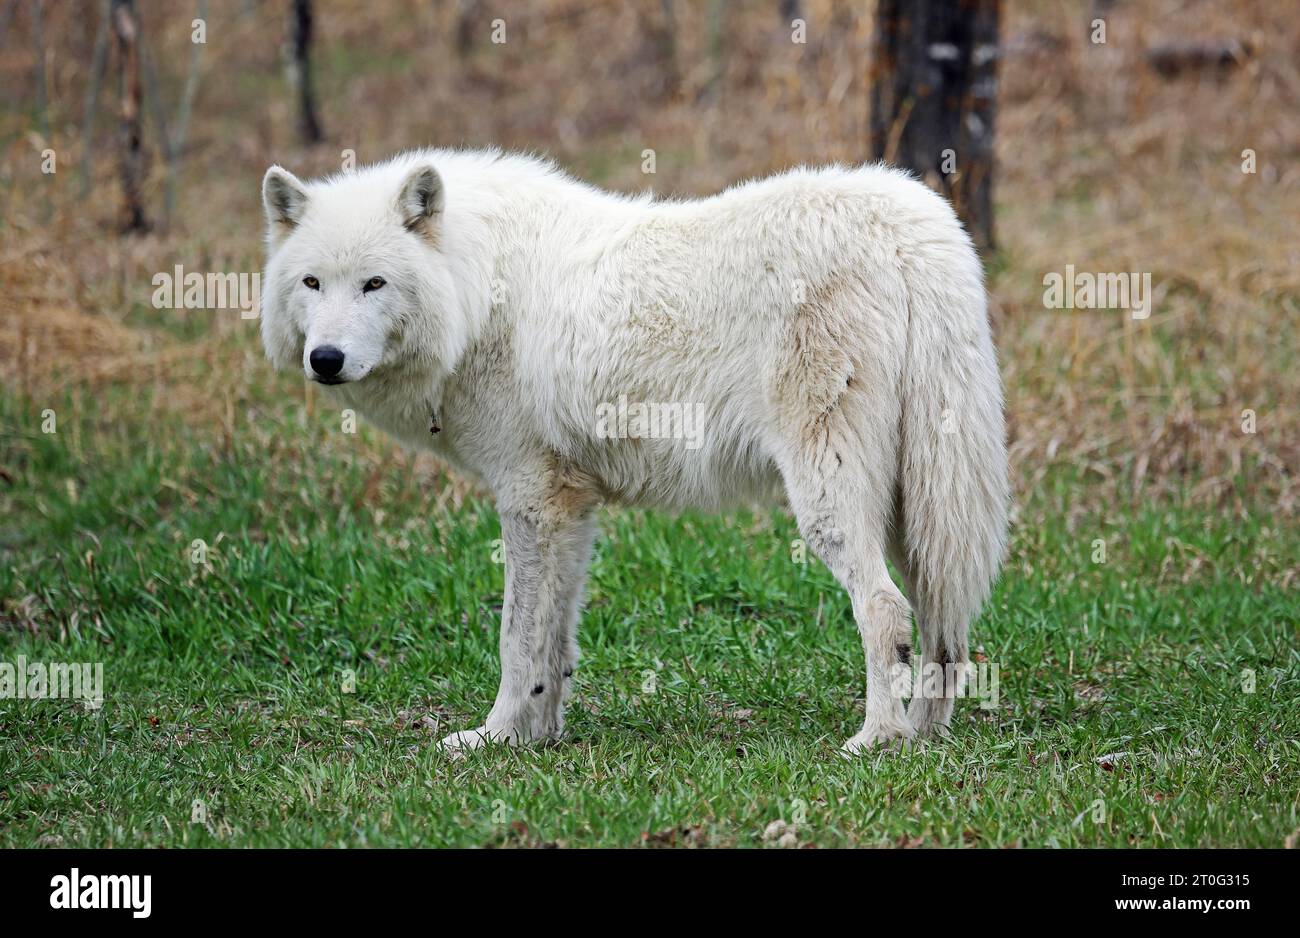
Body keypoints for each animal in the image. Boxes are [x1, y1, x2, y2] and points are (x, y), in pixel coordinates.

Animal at [259, 149, 1010, 755]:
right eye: (312, 284)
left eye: (375, 284)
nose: (325, 360)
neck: (477, 291)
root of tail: (912, 229)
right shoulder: (569, 506)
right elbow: (553, 643)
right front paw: (538, 737)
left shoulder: (529, 495)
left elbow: (515, 638)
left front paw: (492, 738)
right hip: (917, 509)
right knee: (943, 621)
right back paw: (926, 733)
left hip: (831, 498)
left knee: (885, 609)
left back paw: (878, 739)